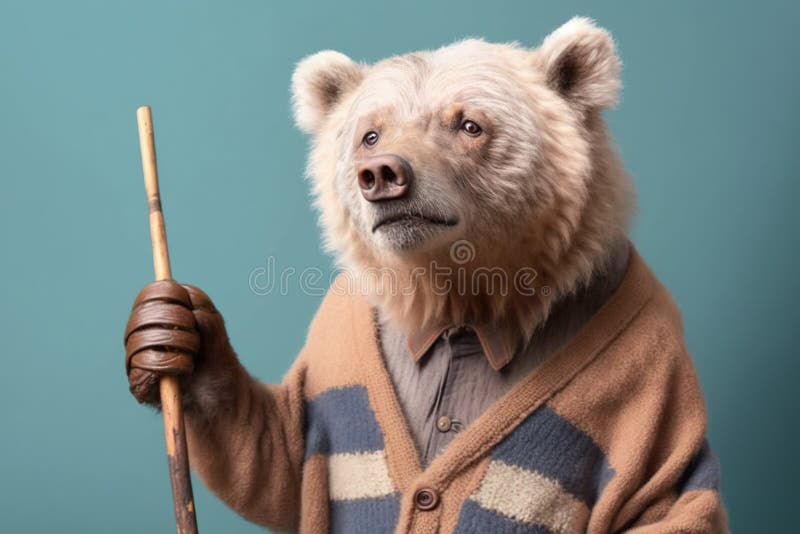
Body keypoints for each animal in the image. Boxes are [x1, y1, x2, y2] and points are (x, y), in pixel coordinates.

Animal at [124, 17, 727, 534]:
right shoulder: (340, 340)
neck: (461, 297)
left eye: (469, 124)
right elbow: (279, 462)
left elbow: (661, 501)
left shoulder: (646, 374)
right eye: (370, 133)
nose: (382, 174)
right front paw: (172, 332)